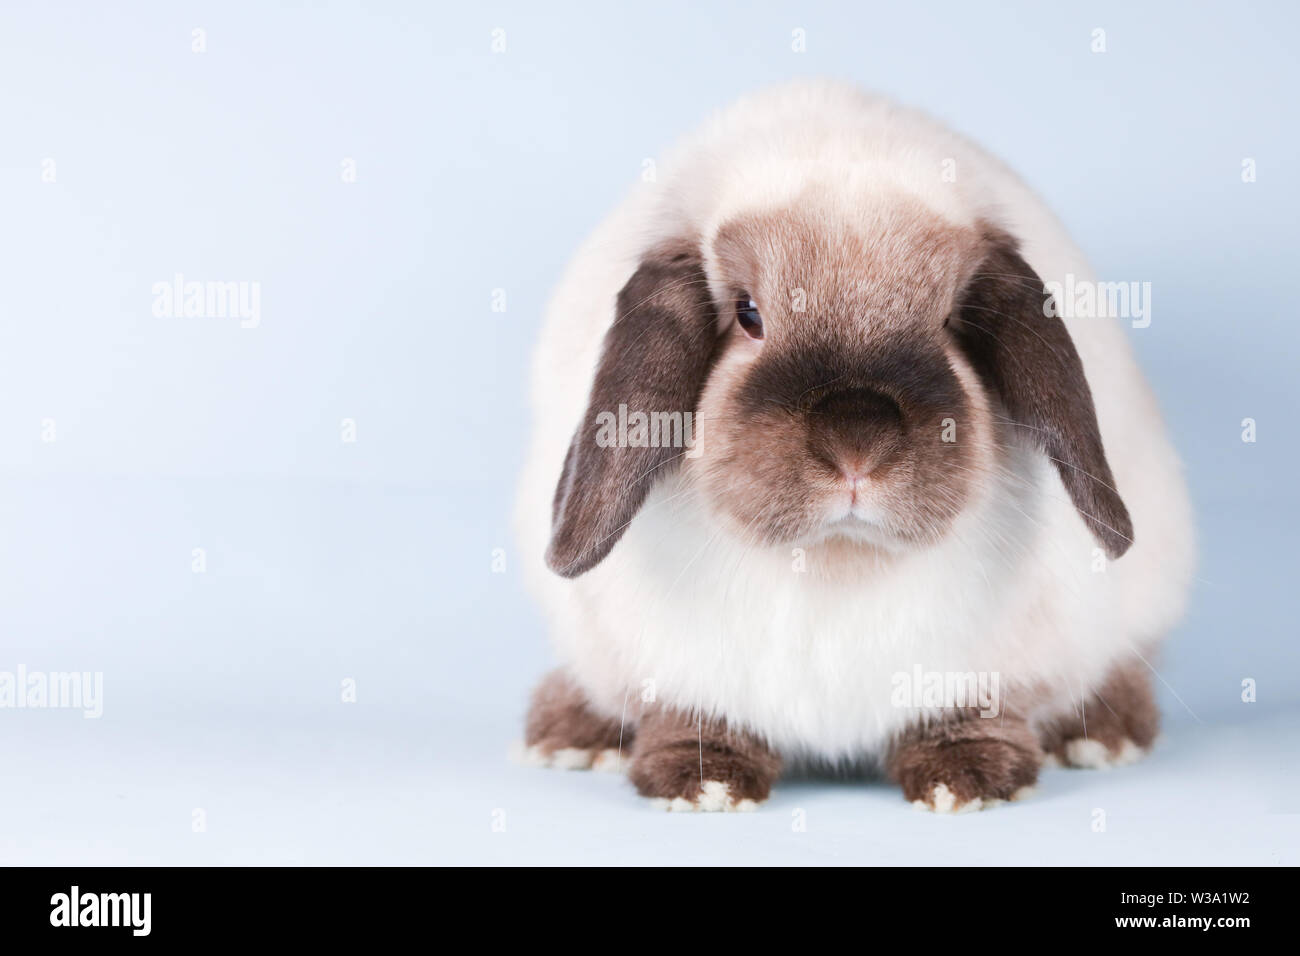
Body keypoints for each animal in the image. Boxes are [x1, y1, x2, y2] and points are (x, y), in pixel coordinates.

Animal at [513, 80, 1194, 812]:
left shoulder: (984, 674)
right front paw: (702, 782)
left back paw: (1106, 735)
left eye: (952, 321)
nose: (856, 445)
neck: (835, 562)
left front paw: (967, 778)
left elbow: (976, 713)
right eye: (748, 315)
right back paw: (567, 736)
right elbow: (690, 718)